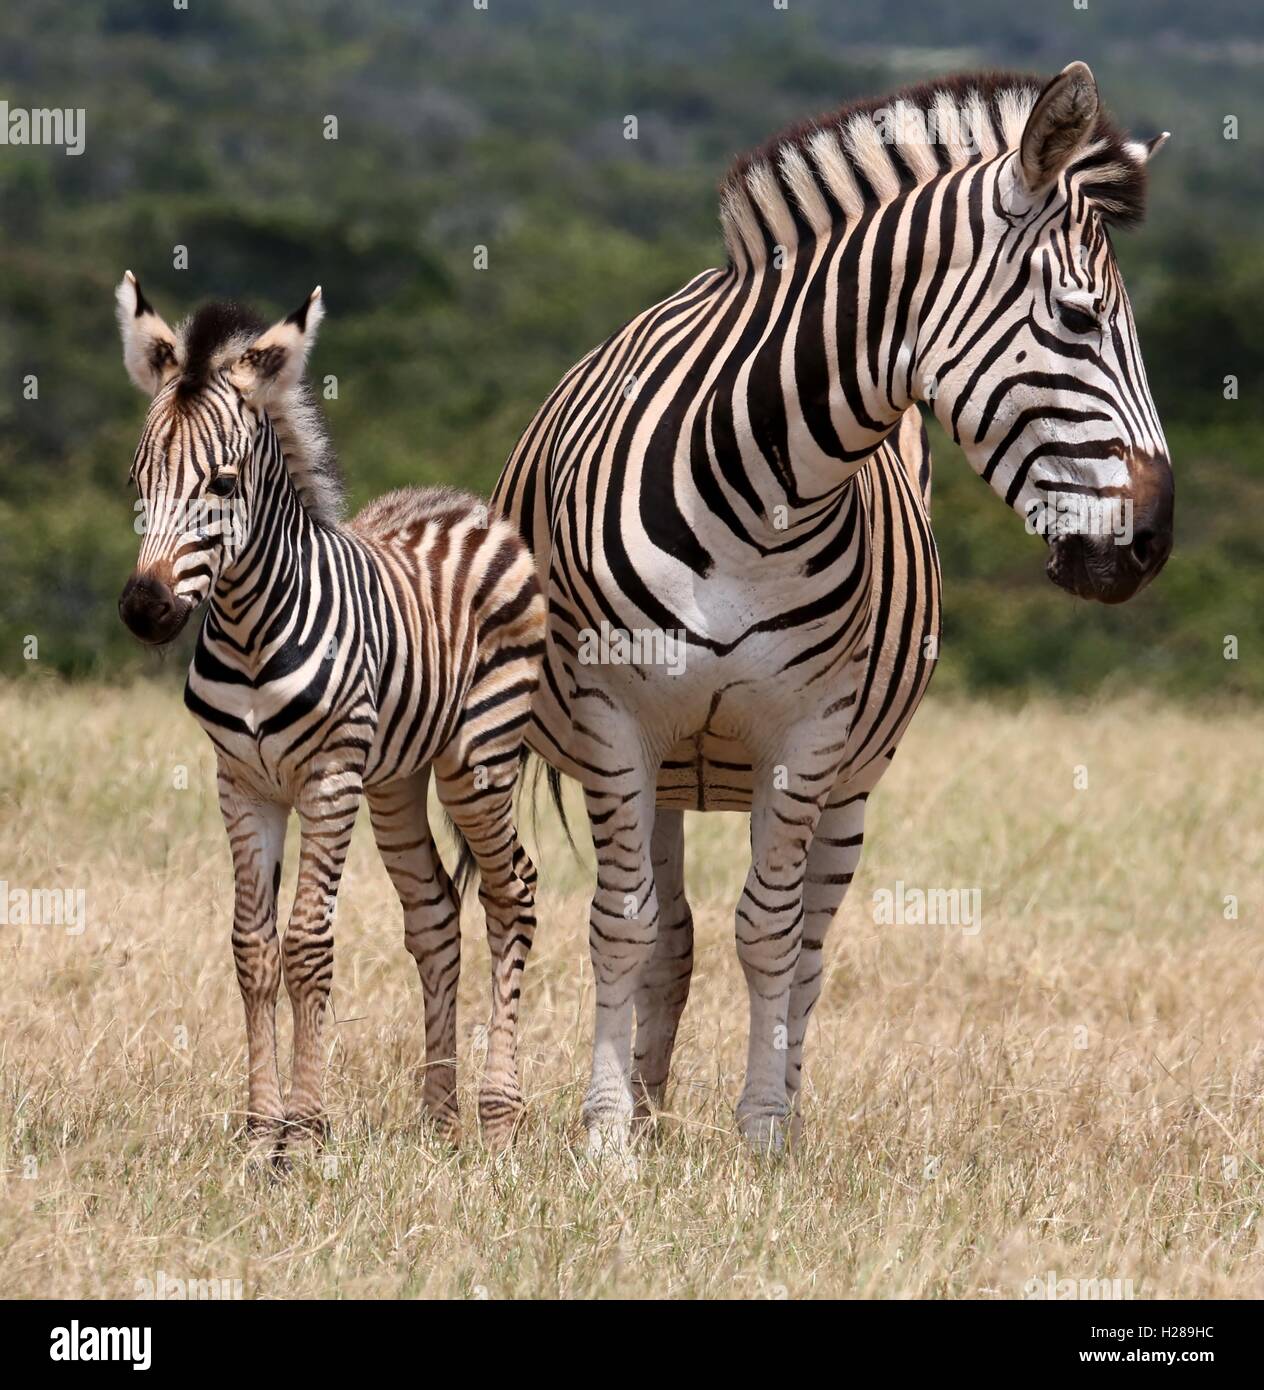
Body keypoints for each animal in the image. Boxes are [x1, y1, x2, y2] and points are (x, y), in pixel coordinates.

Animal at [115, 275, 545, 1152]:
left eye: (222, 485)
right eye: (139, 479)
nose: (143, 610)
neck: (250, 630)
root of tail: (468, 506)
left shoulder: (328, 776)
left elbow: (310, 944)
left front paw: (306, 1132)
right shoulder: (241, 783)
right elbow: (253, 948)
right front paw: (258, 1129)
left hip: (477, 759)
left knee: (512, 892)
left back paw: (498, 1114)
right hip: (397, 778)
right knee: (434, 914)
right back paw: (439, 1117)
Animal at [493, 63, 1174, 1155]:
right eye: (1077, 320)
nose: (1151, 543)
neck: (759, 490)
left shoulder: (808, 731)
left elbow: (770, 936)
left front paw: (764, 1130)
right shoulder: (615, 720)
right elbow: (623, 926)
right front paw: (605, 1134)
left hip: (851, 782)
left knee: (807, 941)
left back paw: (770, 1103)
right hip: (664, 766)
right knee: (666, 932)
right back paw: (647, 1108)